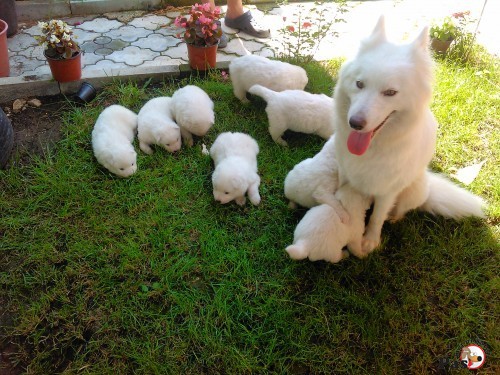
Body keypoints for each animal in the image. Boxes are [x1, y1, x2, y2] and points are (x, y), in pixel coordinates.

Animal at [332, 14, 484, 256]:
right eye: (359, 84)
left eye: (390, 93)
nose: (354, 123)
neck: (375, 147)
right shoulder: (345, 174)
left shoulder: (388, 191)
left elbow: (377, 217)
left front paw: (370, 240)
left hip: (413, 191)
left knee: (399, 210)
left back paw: (394, 218)